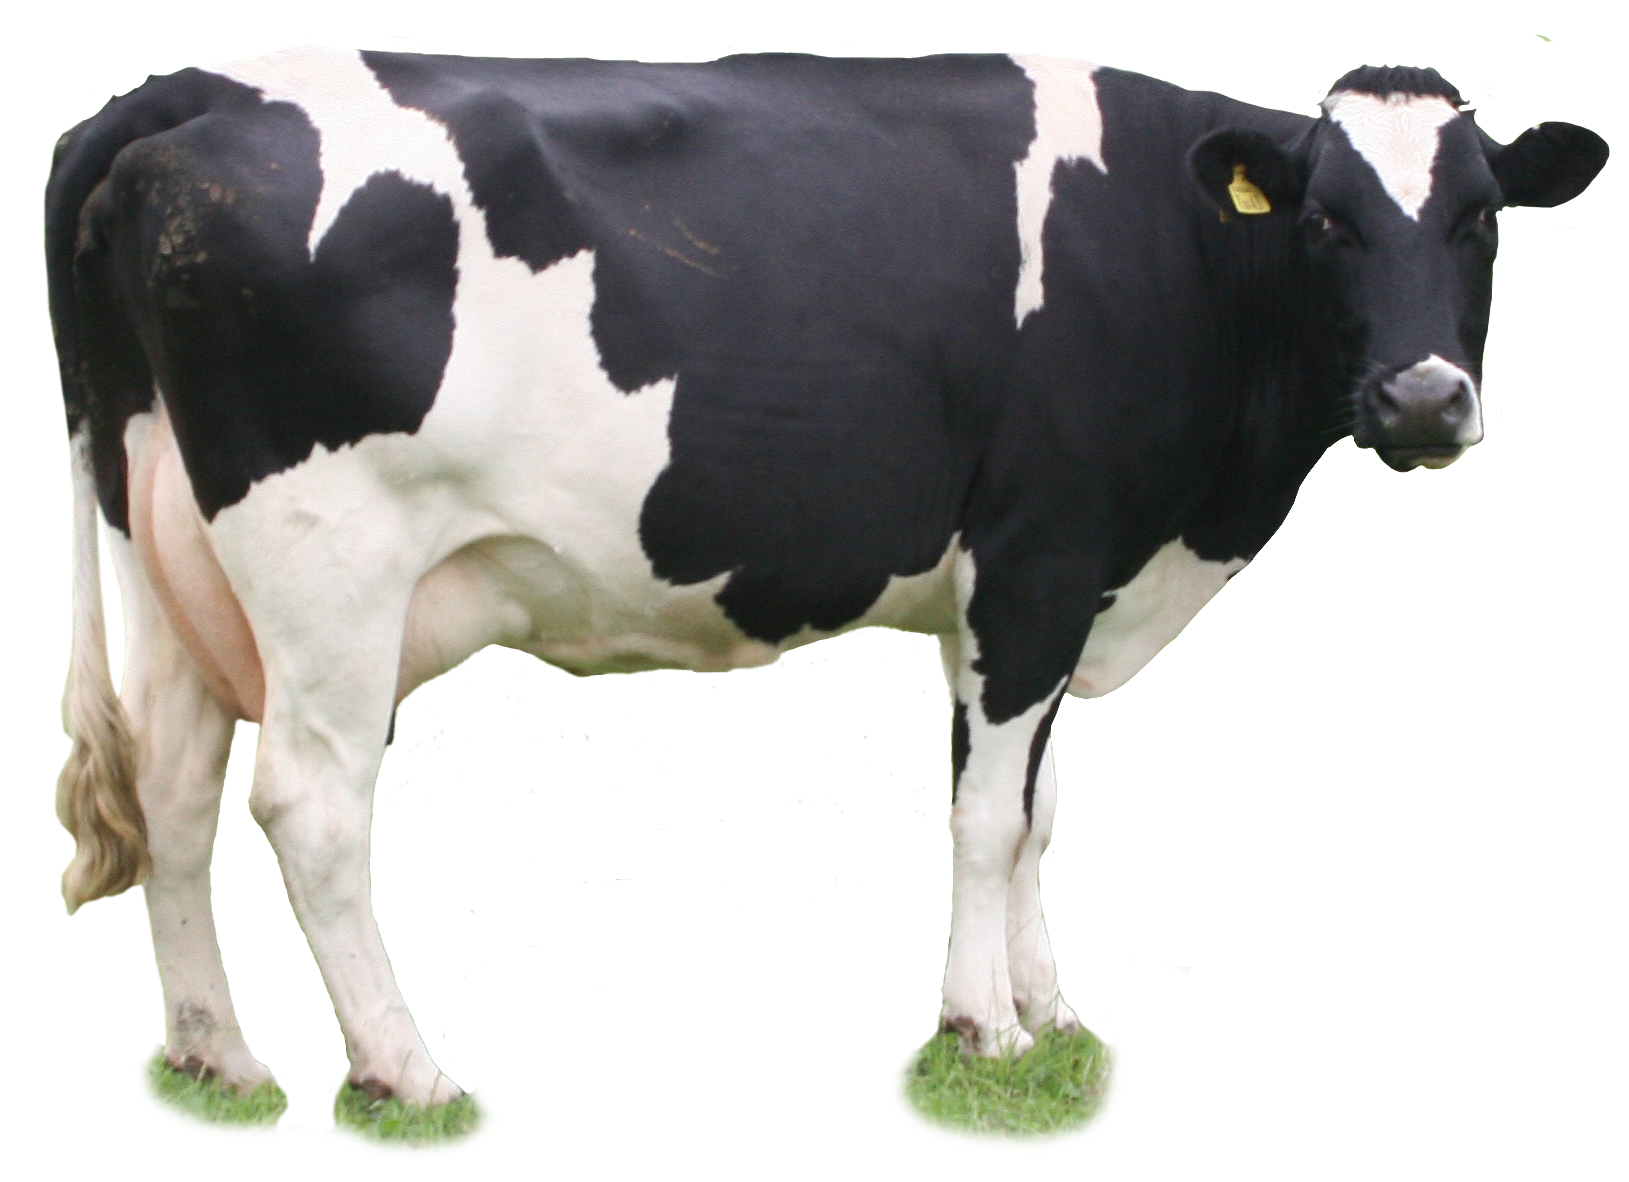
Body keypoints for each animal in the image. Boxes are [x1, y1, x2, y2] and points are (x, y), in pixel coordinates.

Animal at [46, 46, 1606, 1116]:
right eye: (1325, 220)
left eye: (1480, 219)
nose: (1422, 399)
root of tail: (183, 90)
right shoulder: (1038, 558)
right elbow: (988, 820)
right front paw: (982, 1027)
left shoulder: (1042, 587)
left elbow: (1038, 814)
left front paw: (1051, 1015)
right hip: (331, 561)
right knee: (309, 808)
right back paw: (406, 1069)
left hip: (165, 538)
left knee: (176, 787)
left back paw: (219, 1056)